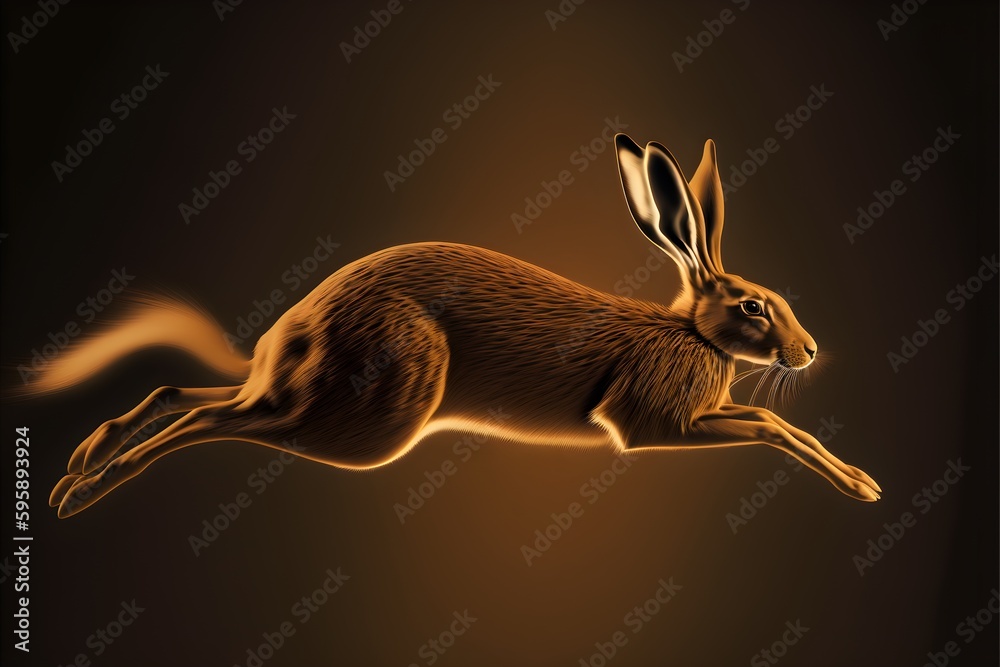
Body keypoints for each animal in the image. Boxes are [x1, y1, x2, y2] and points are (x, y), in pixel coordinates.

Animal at [40, 133, 880, 518]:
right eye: (753, 304)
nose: (810, 350)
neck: (693, 333)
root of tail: (287, 337)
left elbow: (778, 424)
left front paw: (863, 482)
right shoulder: (654, 420)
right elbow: (768, 423)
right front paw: (863, 485)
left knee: (185, 395)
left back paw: (81, 464)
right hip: (369, 415)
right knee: (217, 419)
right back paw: (81, 492)